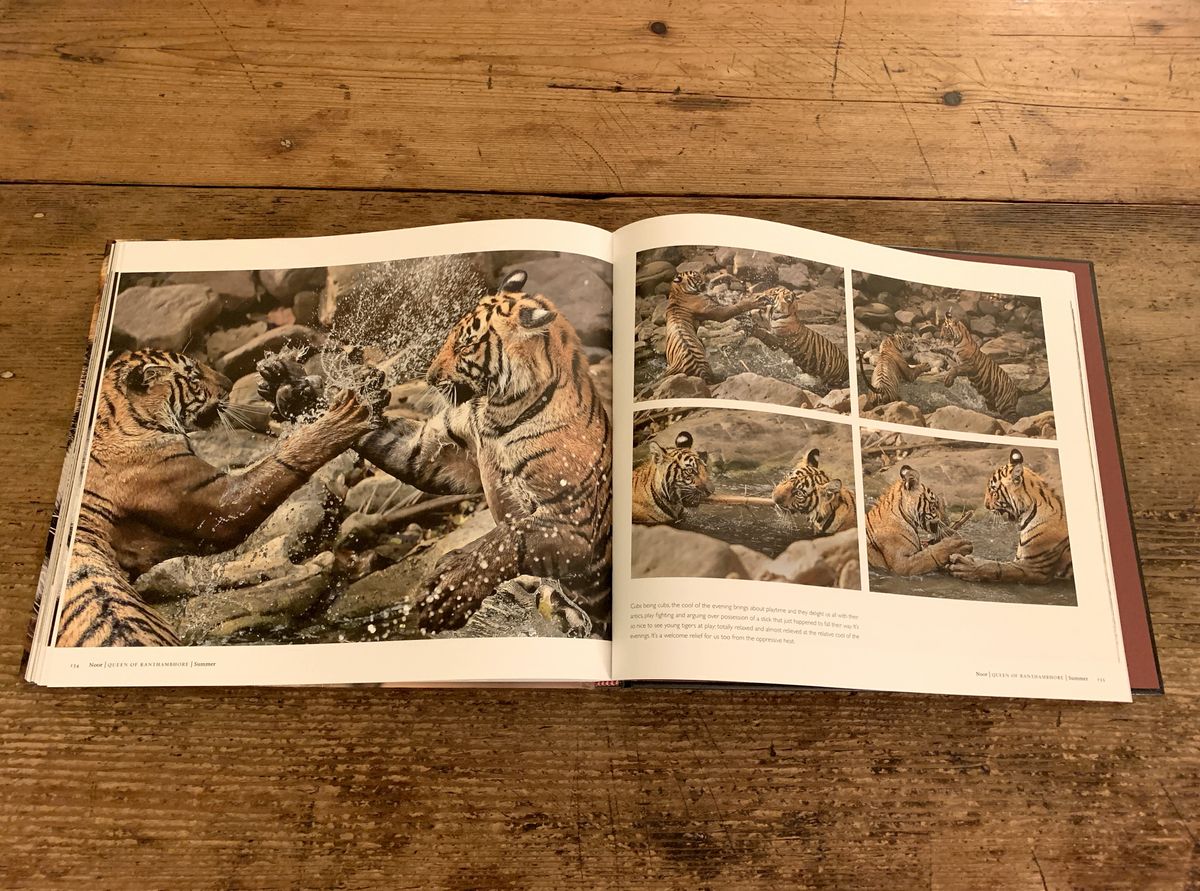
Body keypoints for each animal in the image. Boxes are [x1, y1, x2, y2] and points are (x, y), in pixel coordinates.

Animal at [259, 270, 612, 636]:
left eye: (466, 345)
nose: (429, 377)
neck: (498, 411)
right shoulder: (441, 449)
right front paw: (293, 388)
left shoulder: (572, 521)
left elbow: (507, 538)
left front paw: (452, 587)